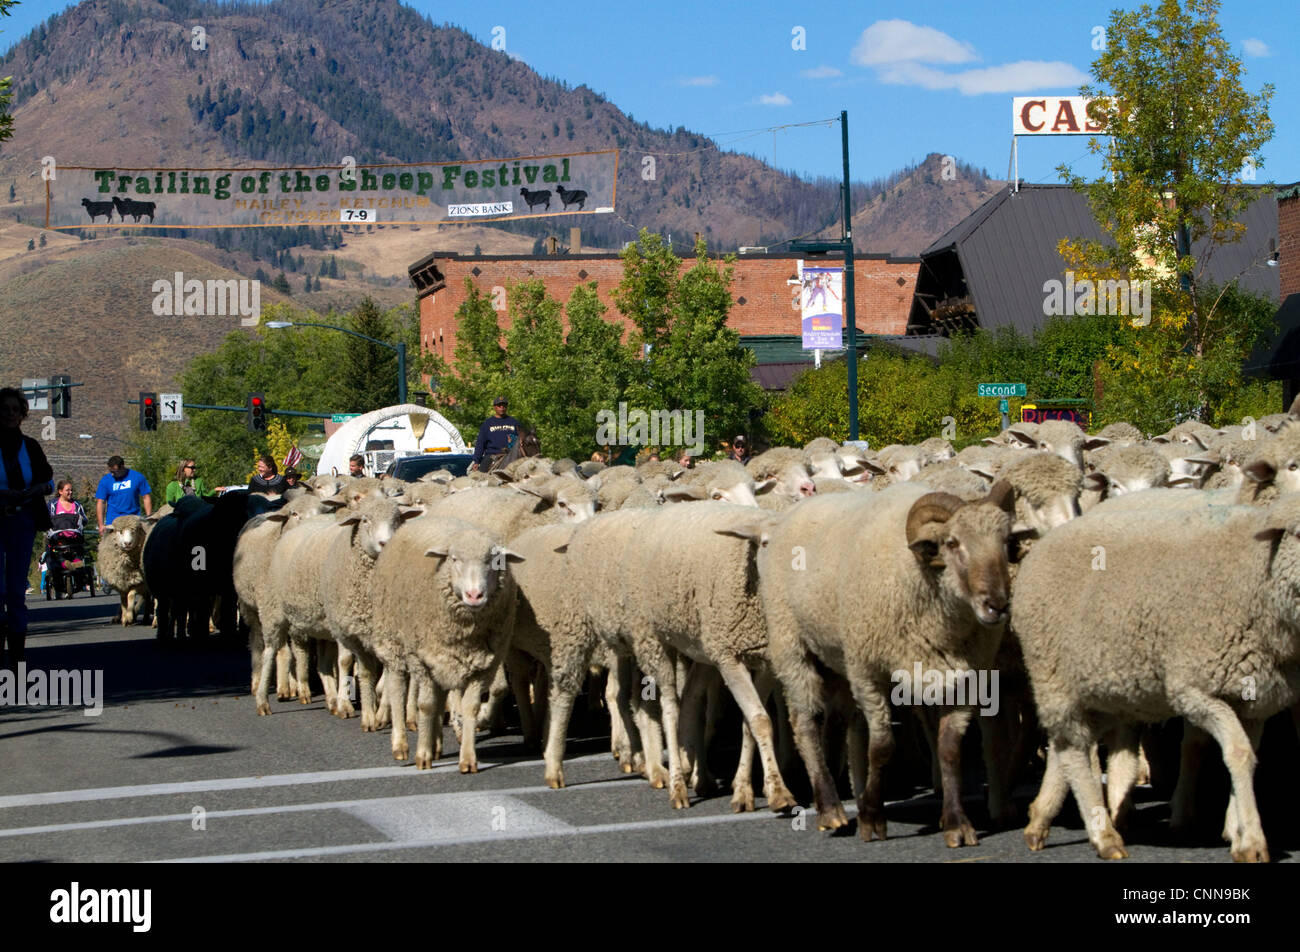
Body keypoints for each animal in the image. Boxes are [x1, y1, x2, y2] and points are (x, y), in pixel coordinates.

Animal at [371, 516, 521, 772]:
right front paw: (422, 756)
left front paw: (468, 758)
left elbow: (470, 707)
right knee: (397, 688)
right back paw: (401, 745)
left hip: (441, 658)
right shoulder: (421, 660)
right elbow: (426, 705)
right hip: (393, 642)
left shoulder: (482, 665)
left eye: (493, 561)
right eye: (454, 559)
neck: (465, 633)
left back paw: (437, 745)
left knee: (441, 696)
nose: (474, 595)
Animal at [759, 480, 1015, 846]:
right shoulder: (868, 672)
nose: (997, 605)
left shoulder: (964, 678)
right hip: (791, 643)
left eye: (1006, 542)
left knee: (831, 721)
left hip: (835, 658)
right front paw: (872, 818)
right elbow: (881, 746)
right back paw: (830, 809)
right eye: (952, 543)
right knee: (806, 722)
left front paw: (956, 823)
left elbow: (950, 749)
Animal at [1012, 499, 1300, 862]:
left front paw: (1235, 831)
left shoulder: (1254, 701)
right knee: (1075, 751)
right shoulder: (1194, 689)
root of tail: (1041, 545)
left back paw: (1040, 819)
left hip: (1099, 691)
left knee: (1063, 746)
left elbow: (1246, 754)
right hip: (1052, 676)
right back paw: (1104, 836)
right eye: (1298, 533)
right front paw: (1251, 841)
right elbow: (1238, 753)